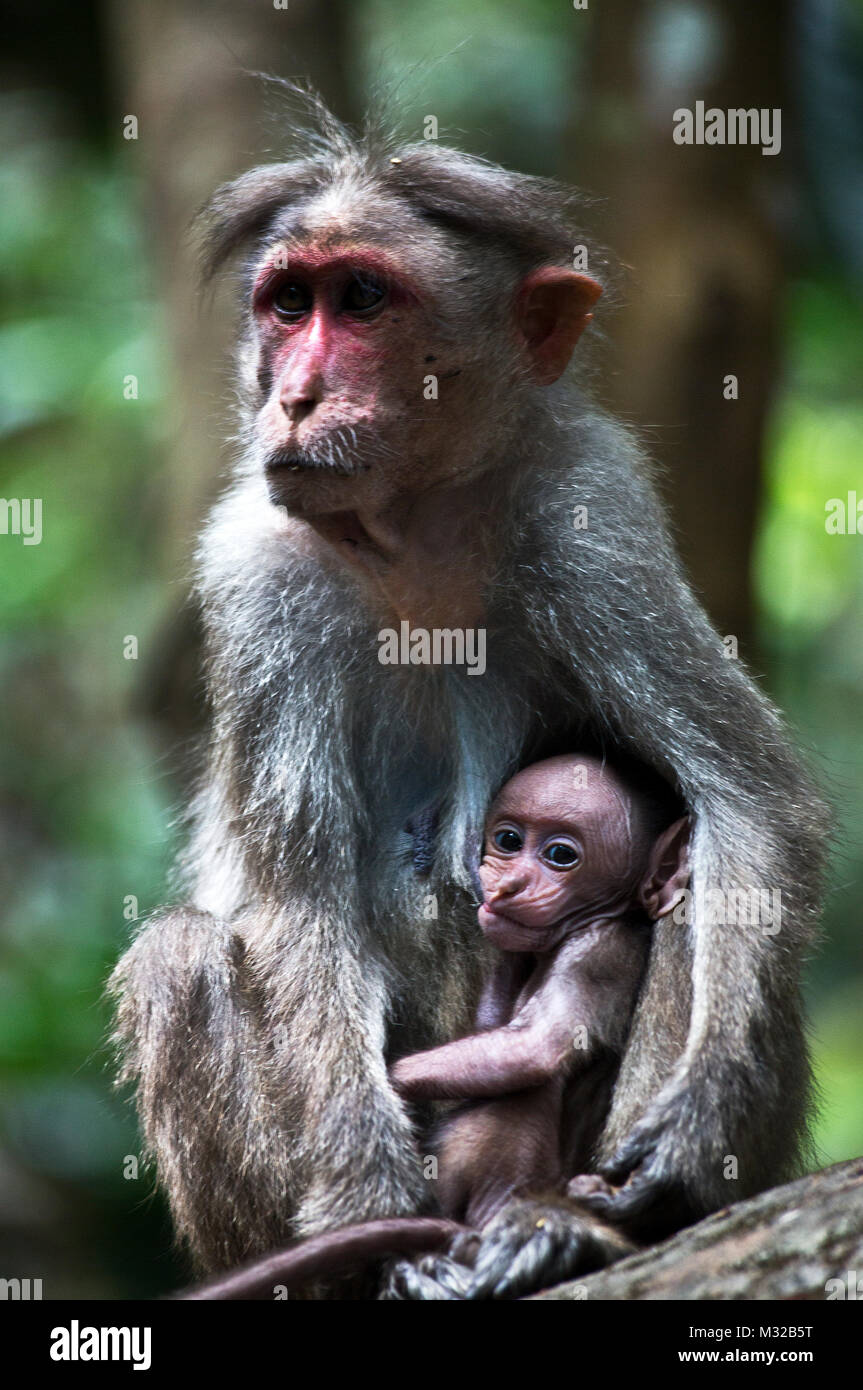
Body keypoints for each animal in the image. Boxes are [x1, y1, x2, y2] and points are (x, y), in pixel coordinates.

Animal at [109, 85, 828, 1300]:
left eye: (361, 300)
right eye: (288, 302)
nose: (293, 397)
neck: (415, 528)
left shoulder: (590, 516)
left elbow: (748, 800)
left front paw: (694, 1128)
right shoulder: (256, 575)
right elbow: (297, 897)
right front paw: (363, 1188)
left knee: (689, 866)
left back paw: (570, 1228)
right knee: (181, 955)